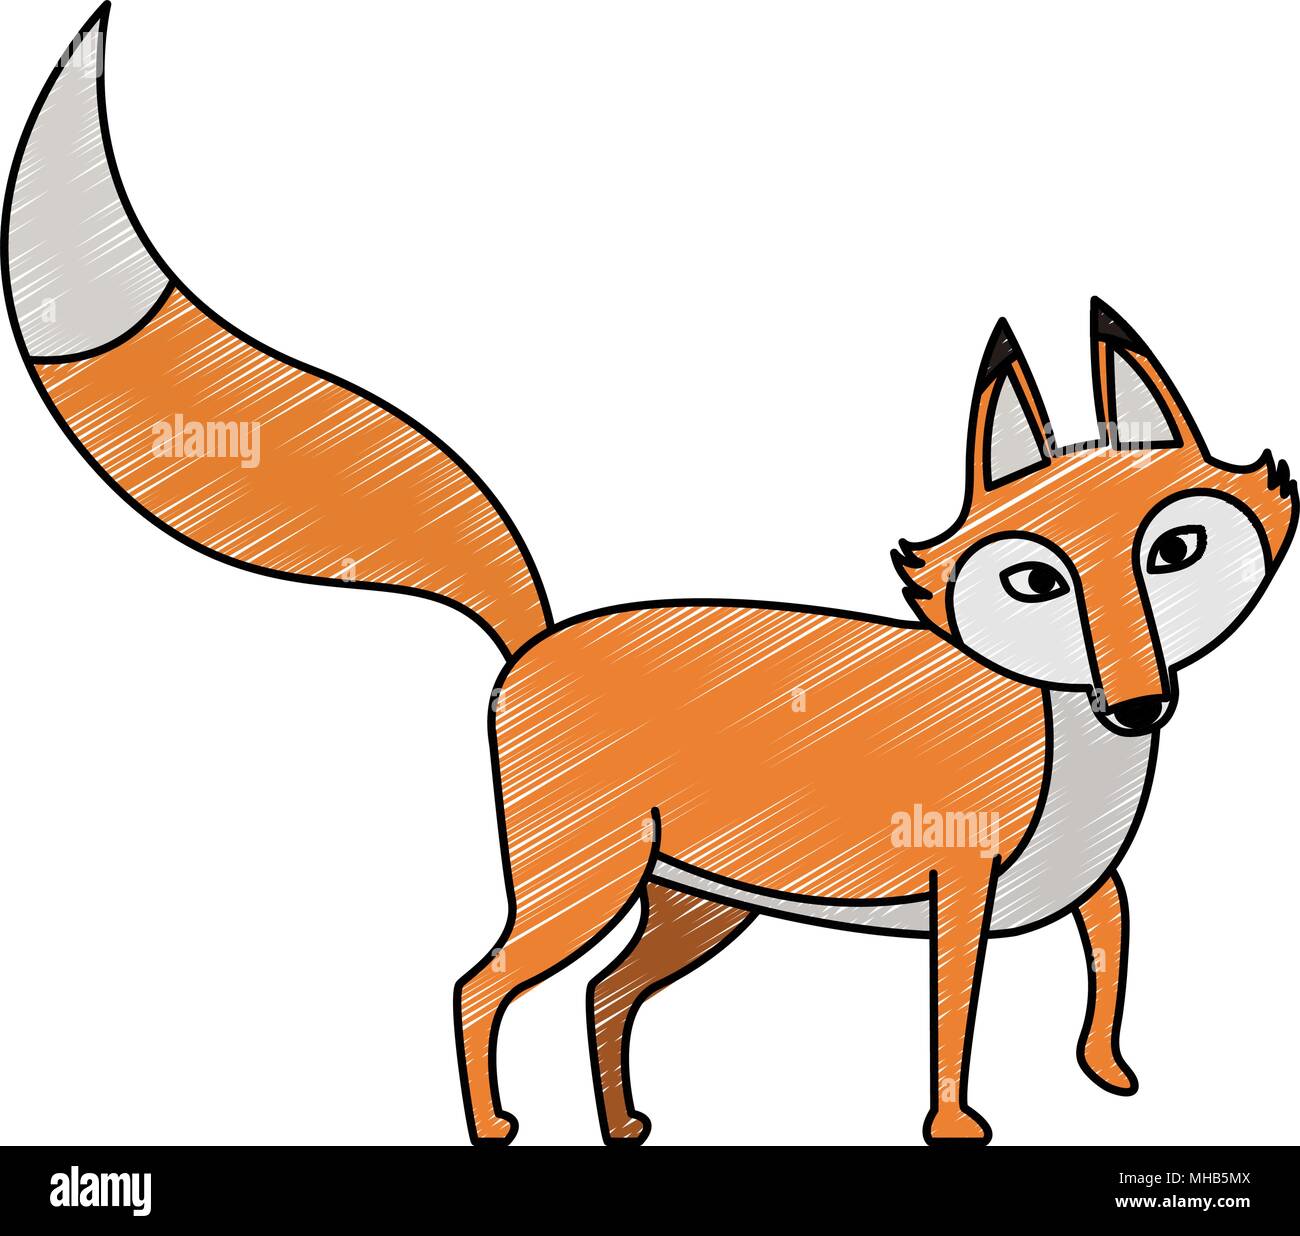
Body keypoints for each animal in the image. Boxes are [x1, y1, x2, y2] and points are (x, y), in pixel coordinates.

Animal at [5, 6, 1296, 1147]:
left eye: (1173, 553)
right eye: (1036, 583)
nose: (1138, 702)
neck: (1064, 752)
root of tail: (535, 639)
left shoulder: (1080, 887)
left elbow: (1115, 950)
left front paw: (1113, 1075)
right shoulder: (958, 896)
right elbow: (953, 1027)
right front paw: (957, 1127)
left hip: (692, 905)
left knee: (600, 995)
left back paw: (624, 1126)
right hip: (585, 881)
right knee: (480, 984)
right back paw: (494, 1126)